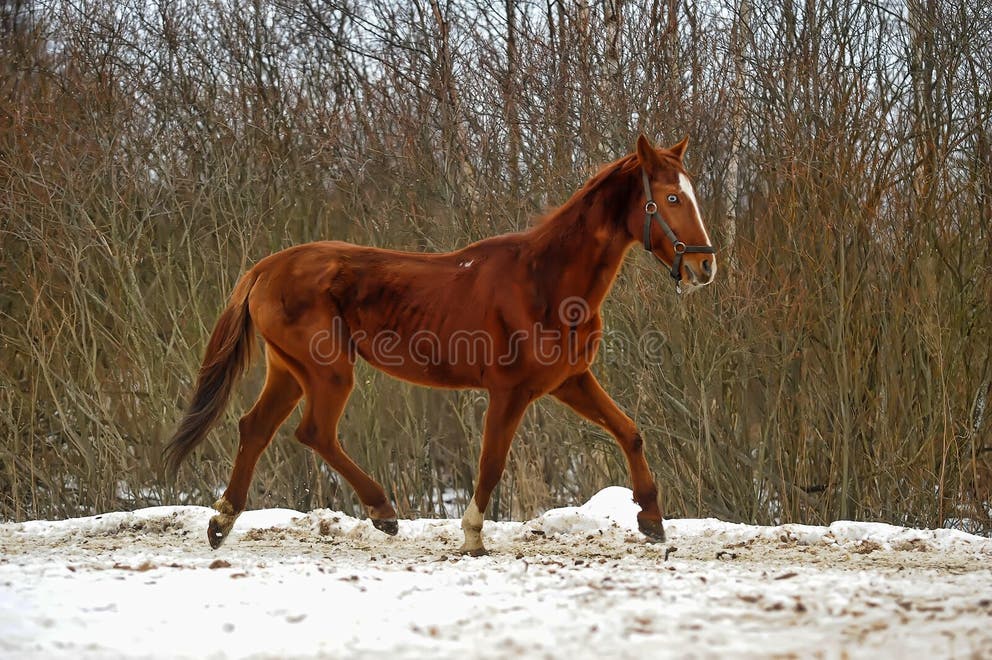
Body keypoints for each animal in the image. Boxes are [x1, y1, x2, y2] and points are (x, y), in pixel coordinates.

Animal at [164, 134, 716, 555]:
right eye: (670, 198)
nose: (705, 265)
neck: (545, 282)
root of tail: (265, 267)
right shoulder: (510, 392)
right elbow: (491, 463)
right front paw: (472, 536)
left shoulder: (571, 381)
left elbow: (630, 432)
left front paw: (652, 519)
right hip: (327, 371)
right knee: (314, 432)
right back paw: (383, 512)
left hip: (288, 370)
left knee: (255, 427)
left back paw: (222, 522)